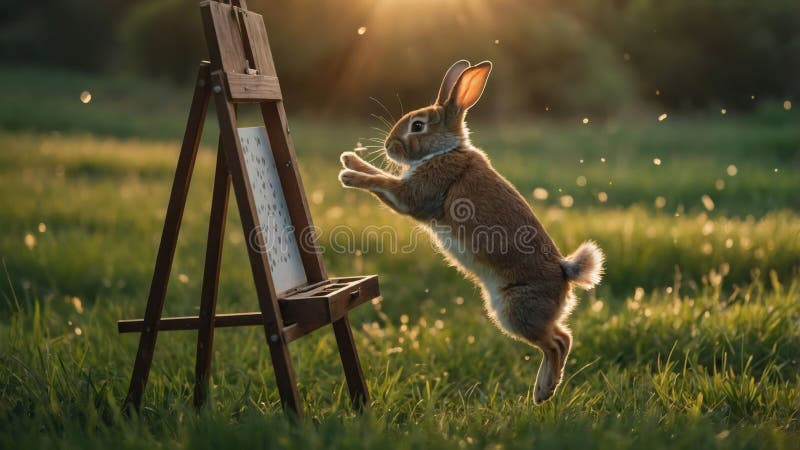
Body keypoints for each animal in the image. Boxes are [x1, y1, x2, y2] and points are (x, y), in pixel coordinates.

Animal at [338, 60, 604, 404]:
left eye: (418, 126)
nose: (389, 146)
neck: (444, 151)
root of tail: (566, 273)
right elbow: (381, 175)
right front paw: (350, 159)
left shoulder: (415, 197)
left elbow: (382, 182)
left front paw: (349, 175)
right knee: (561, 337)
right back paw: (543, 390)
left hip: (514, 311)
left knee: (558, 342)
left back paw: (543, 392)